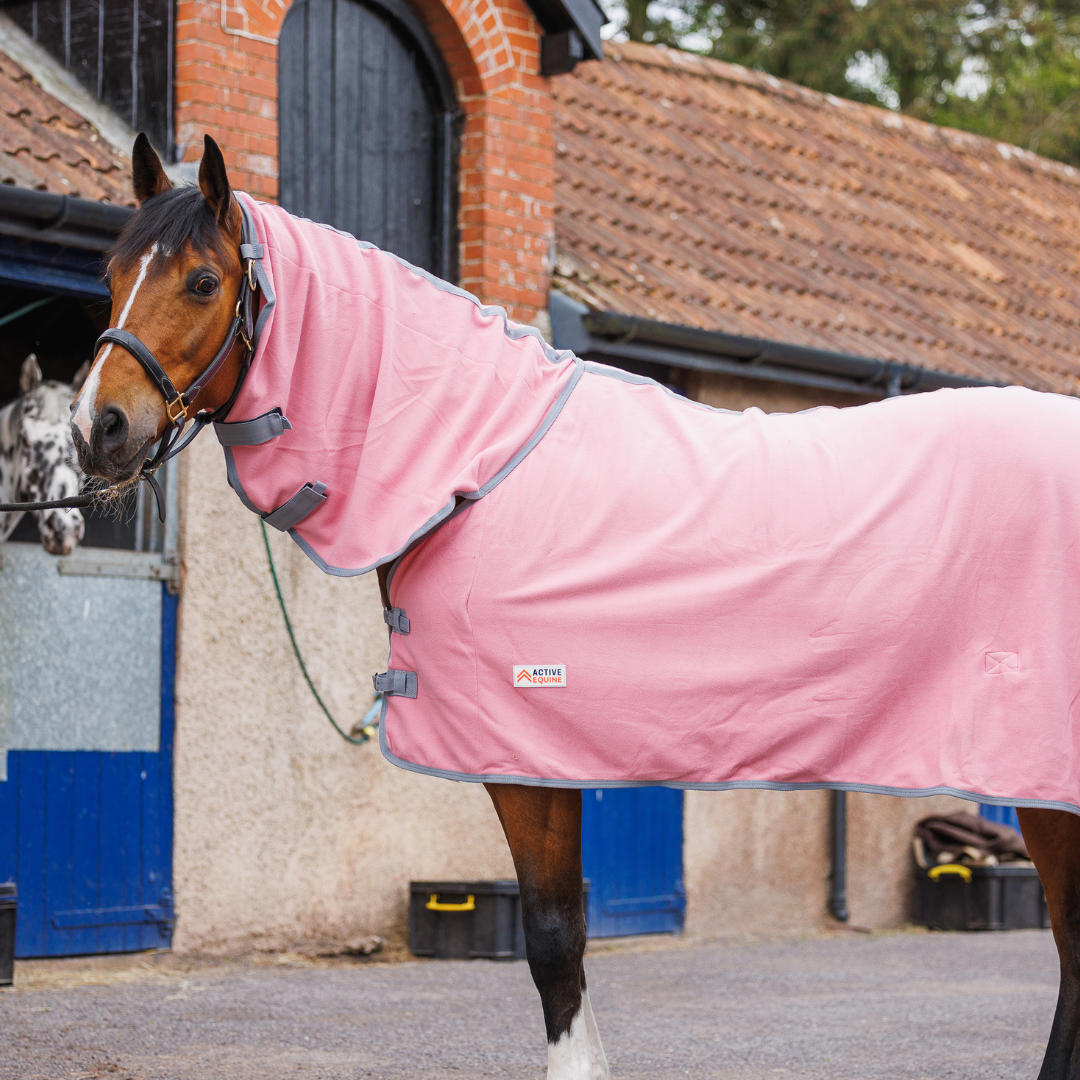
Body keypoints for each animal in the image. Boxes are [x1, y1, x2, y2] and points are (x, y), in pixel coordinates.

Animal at [70, 132, 1080, 1080]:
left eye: (203, 280)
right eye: (109, 276)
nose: (97, 428)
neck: (477, 466)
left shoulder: (522, 753)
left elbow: (553, 934)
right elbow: (569, 933)